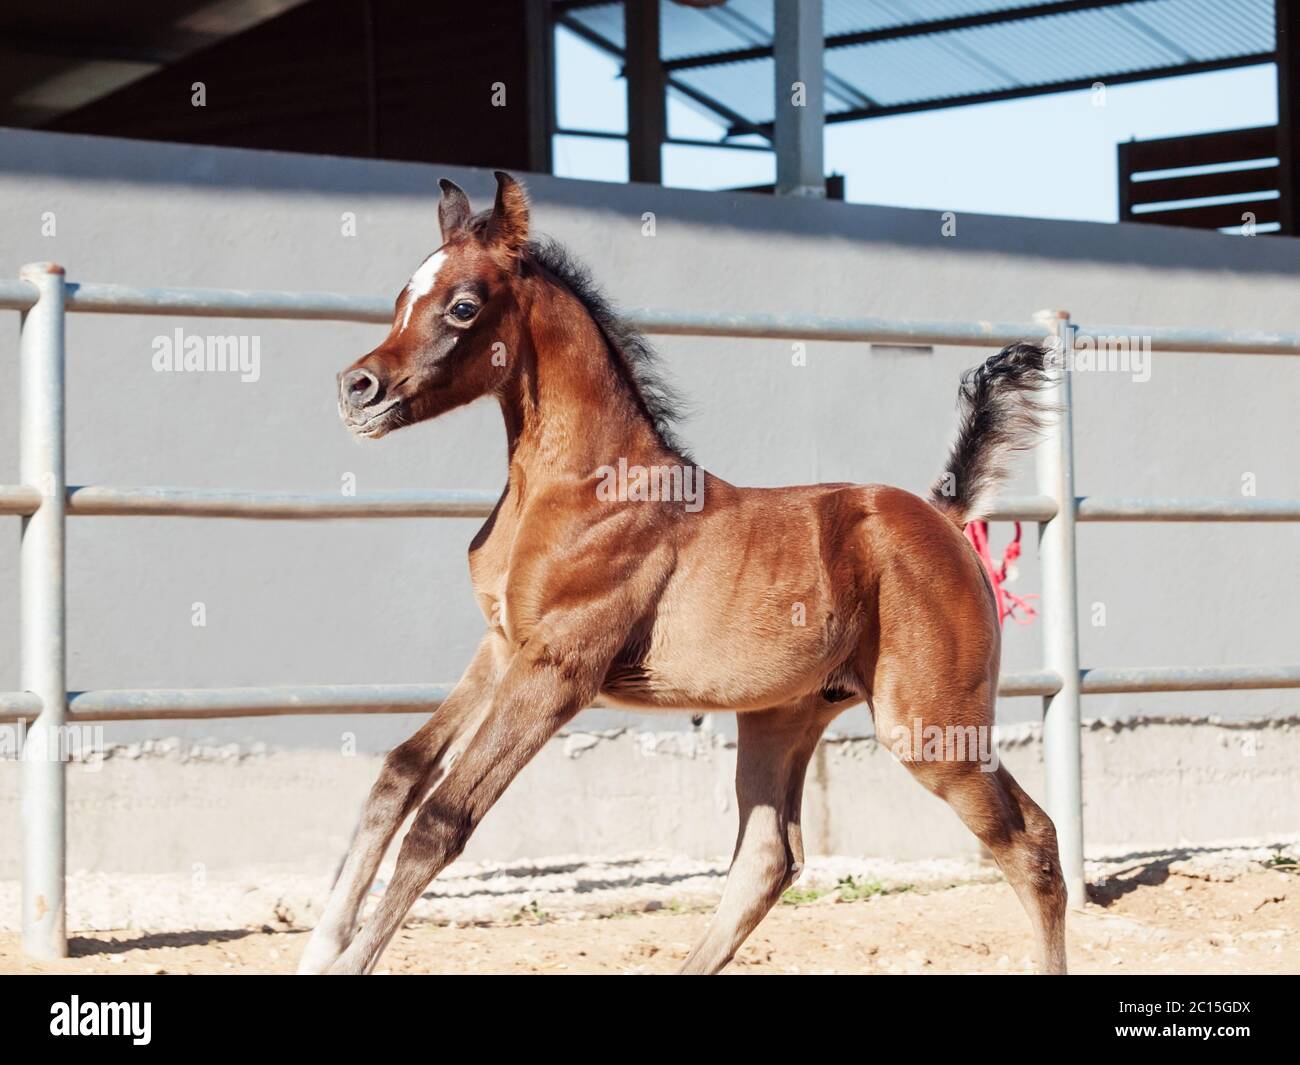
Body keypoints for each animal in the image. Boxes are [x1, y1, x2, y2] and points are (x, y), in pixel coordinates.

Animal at [298, 171, 1067, 975]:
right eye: (400, 297)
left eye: (463, 306)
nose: (358, 388)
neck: (583, 488)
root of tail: (946, 519)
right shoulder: (502, 646)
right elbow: (400, 773)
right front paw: (319, 950)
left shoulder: (558, 667)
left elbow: (443, 818)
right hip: (783, 716)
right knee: (768, 859)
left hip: (930, 728)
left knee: (1031, 844)